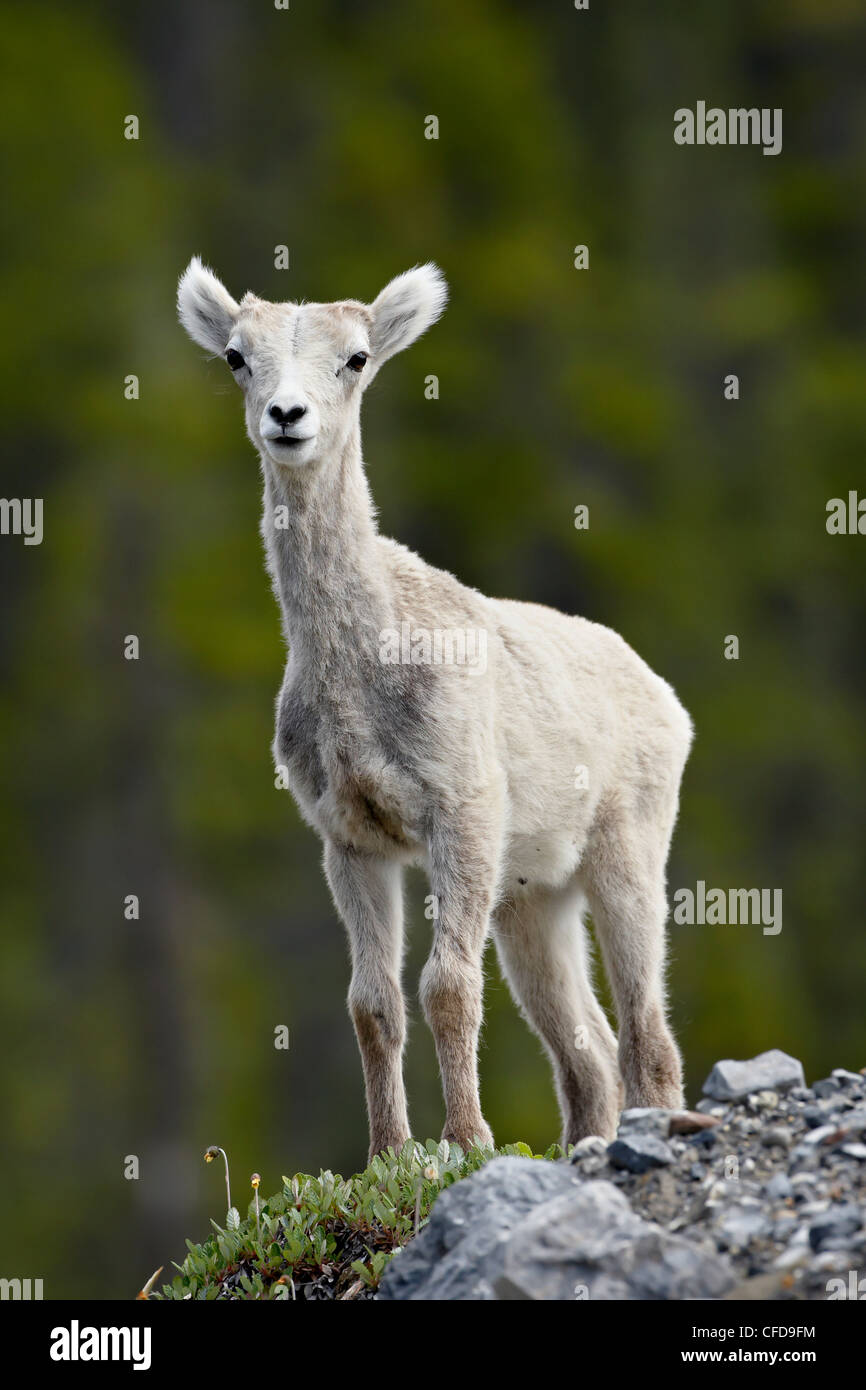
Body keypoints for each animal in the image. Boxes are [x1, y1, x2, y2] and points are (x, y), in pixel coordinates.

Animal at [178, 258, 693, 1158]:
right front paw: (389, 1152)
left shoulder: (463, 813)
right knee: (587, 1048)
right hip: (532, 898)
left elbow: (445, 986)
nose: (288, 416)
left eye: (355, 358)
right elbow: (373, 1002)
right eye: (237, 357)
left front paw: (468, 1140)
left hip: (626, 852)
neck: (363, 670)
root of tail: (670, 707)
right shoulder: (351, 841)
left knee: (644, 1036)